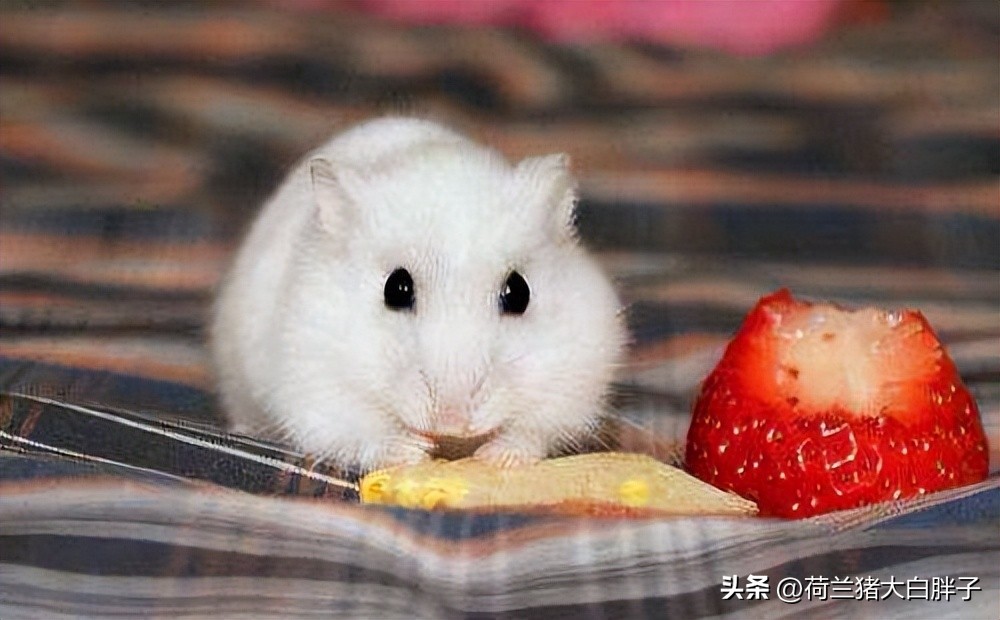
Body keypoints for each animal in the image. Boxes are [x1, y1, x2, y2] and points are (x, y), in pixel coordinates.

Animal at [210, 116, 626, 472]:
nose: (452, 421)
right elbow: (365, 433)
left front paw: (497, 458)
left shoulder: (576, 377)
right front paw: (415, 452)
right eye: (396, 288)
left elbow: (534, 430)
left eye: (519, 293)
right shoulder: (319, 386)